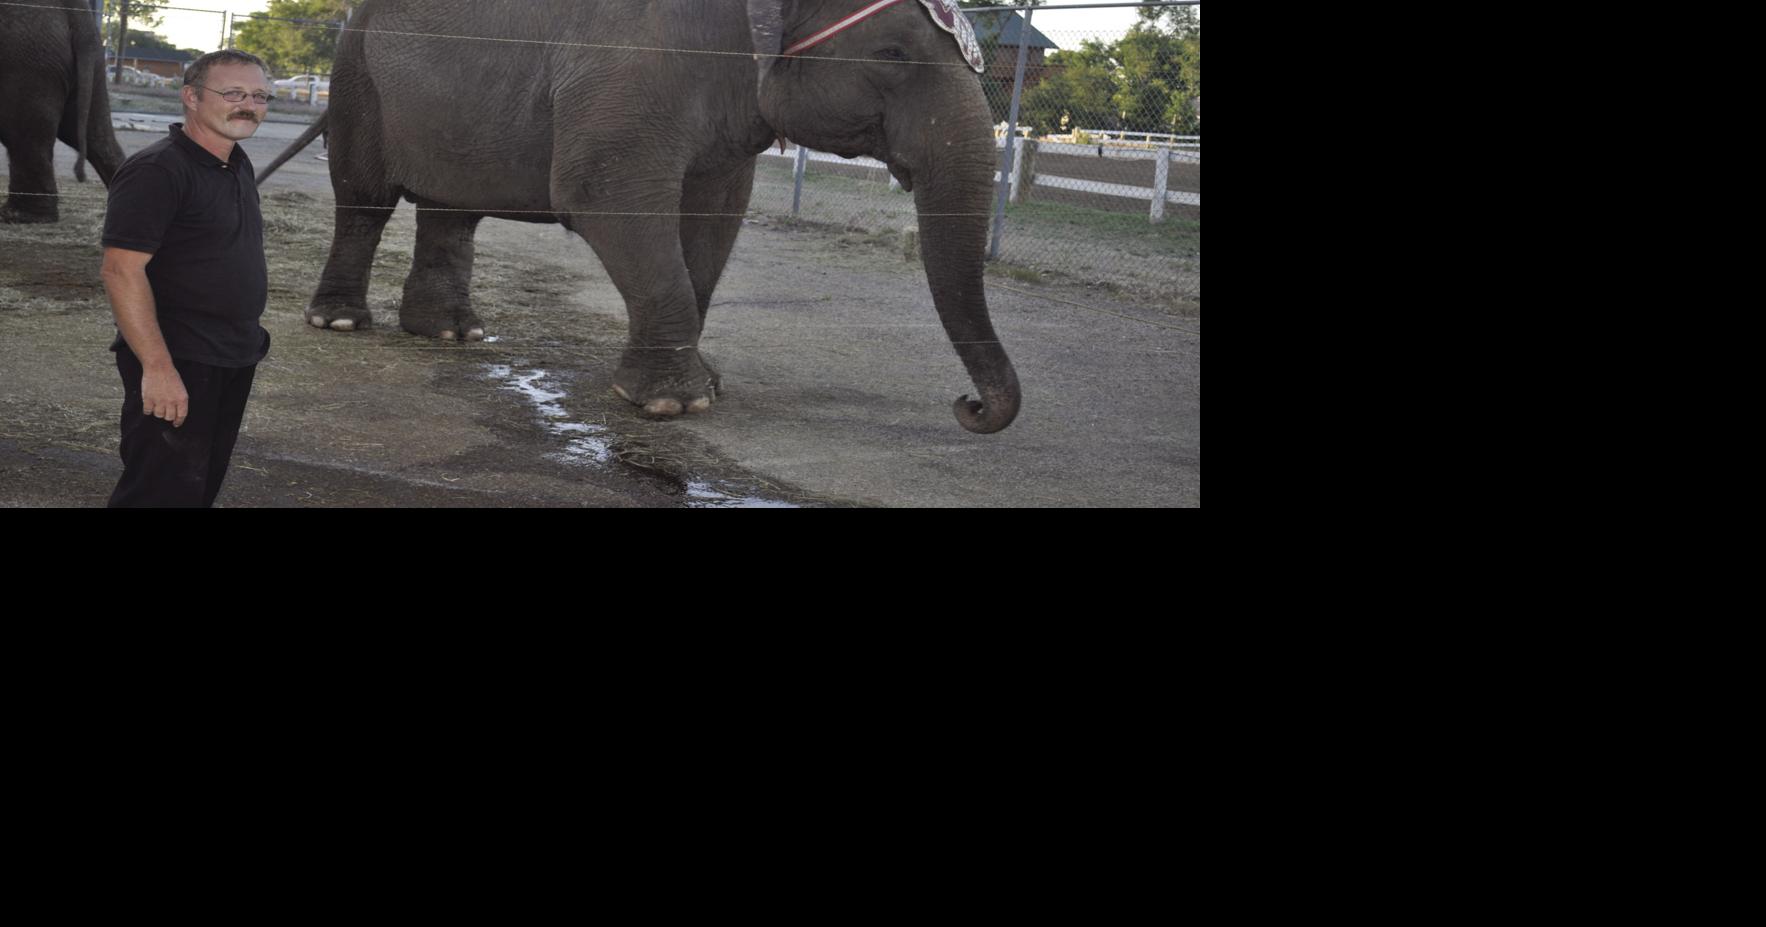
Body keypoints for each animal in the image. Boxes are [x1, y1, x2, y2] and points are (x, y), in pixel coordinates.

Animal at [257, 0, 1020, 433]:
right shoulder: (626, 73)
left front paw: (703, 384)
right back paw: (342, 323)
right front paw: (671, 405)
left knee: (452, 210)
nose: (969, 407)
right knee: (364, 198)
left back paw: (452, 334)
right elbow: (606, 195)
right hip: (358, 74)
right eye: (891, 54)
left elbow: (715, 216)